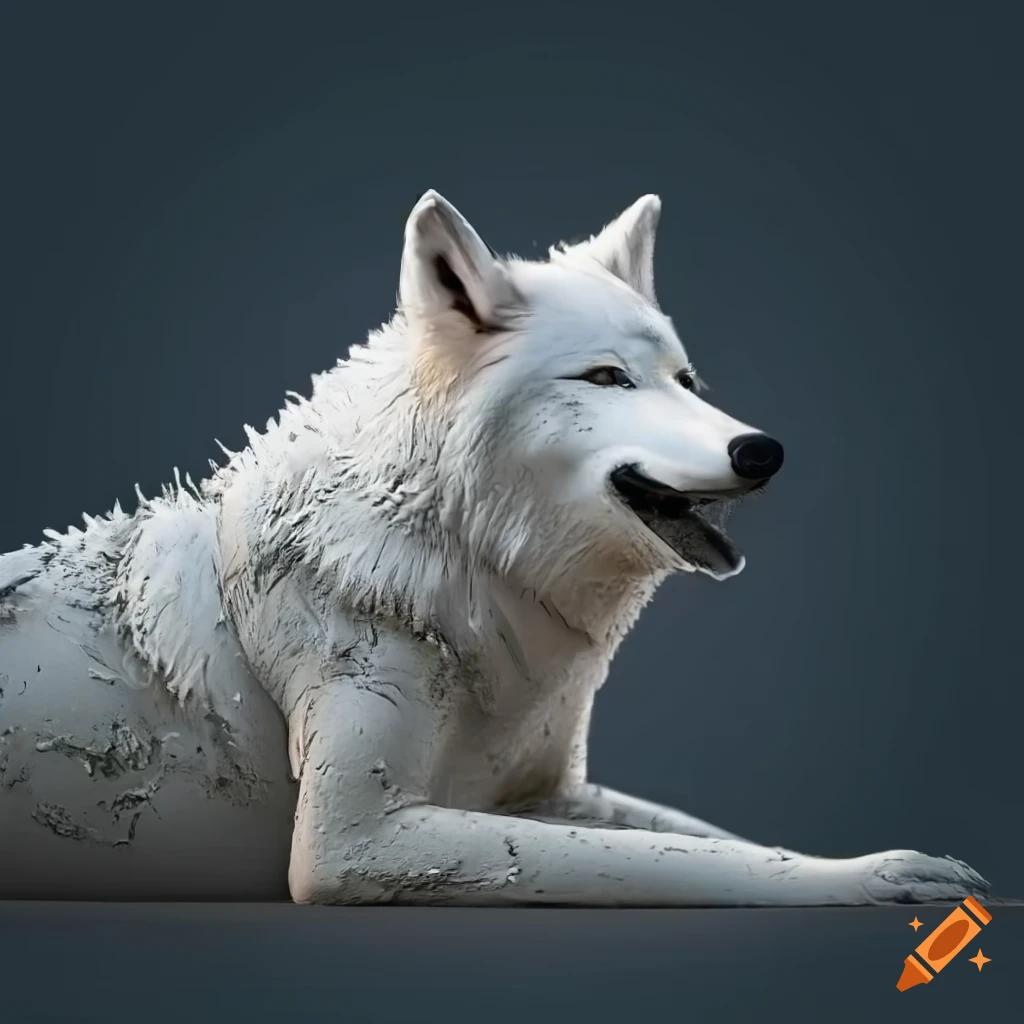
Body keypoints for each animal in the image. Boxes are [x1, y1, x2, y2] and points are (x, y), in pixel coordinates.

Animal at [0, 191, 988, 905]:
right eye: (606, 377)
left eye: (686, 380)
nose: (763, 450)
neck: (469, 563)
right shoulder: (353, 842)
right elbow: (670, 862)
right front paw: (878, 877)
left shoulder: (546, 791)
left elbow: (702, 835)